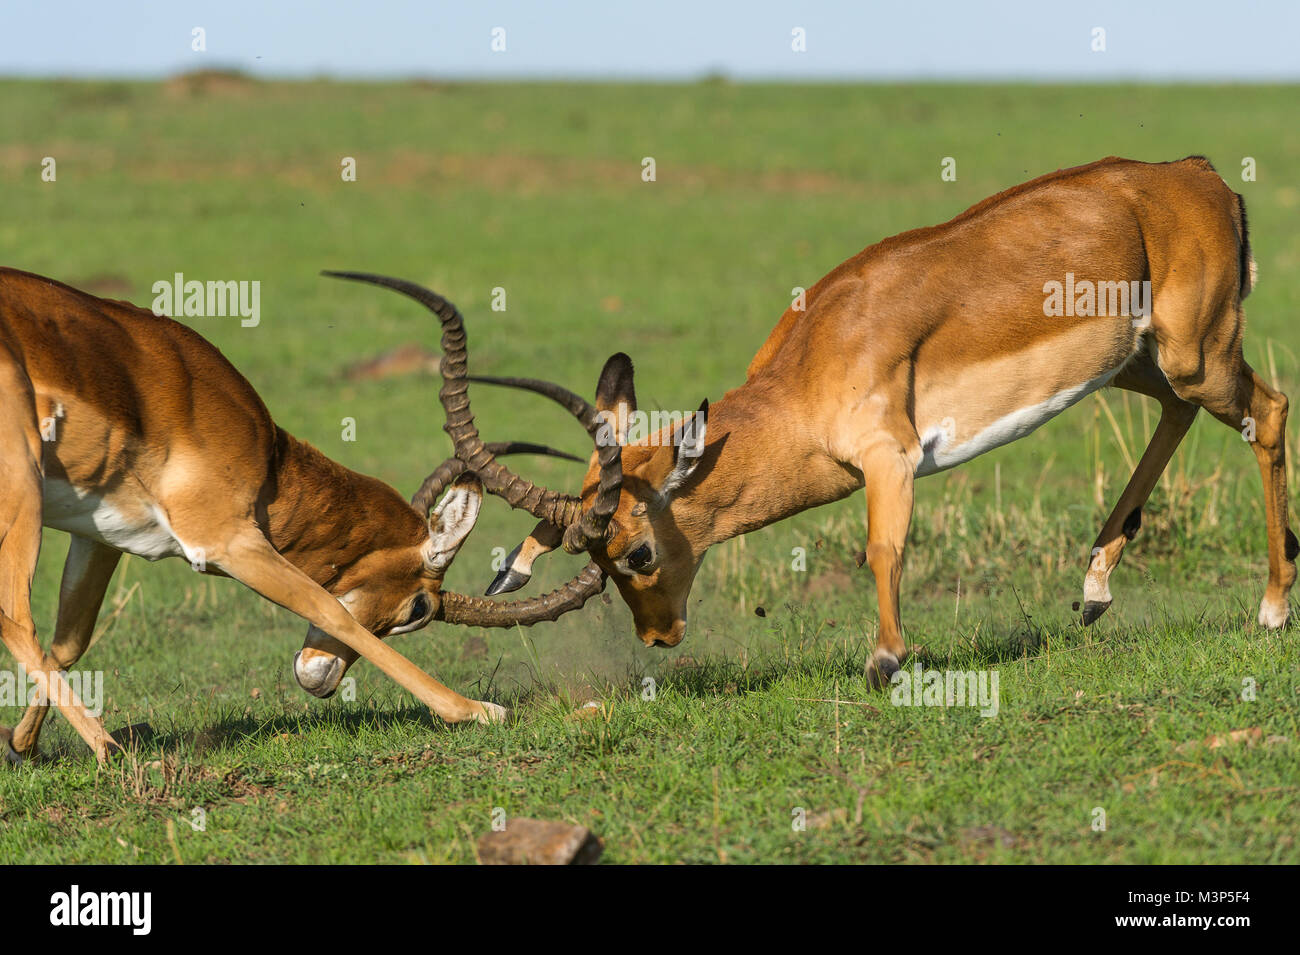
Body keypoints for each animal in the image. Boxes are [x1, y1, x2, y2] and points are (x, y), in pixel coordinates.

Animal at [0, 268, 612, 764]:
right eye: (419, 609)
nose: (320, 677)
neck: (268, 462)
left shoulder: (101, 535)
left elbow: (71, 641)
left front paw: (22, 745)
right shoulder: (226, 541)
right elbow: (330, 608)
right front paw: (480, 710)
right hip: (22, 493)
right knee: (15, 619)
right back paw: (114, 751)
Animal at [389, 156, 1295, 685]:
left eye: (639, 552)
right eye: (601, 562)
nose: (658, 636)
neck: (808, 373)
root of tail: (1198, 173)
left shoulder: (891, 456)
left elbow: (882, 549)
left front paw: (886, 658)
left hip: (1195, 352)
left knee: (1270, 409)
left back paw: (1271, 609)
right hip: (1147, 362)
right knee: (1183, 410)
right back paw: (1095, 589)